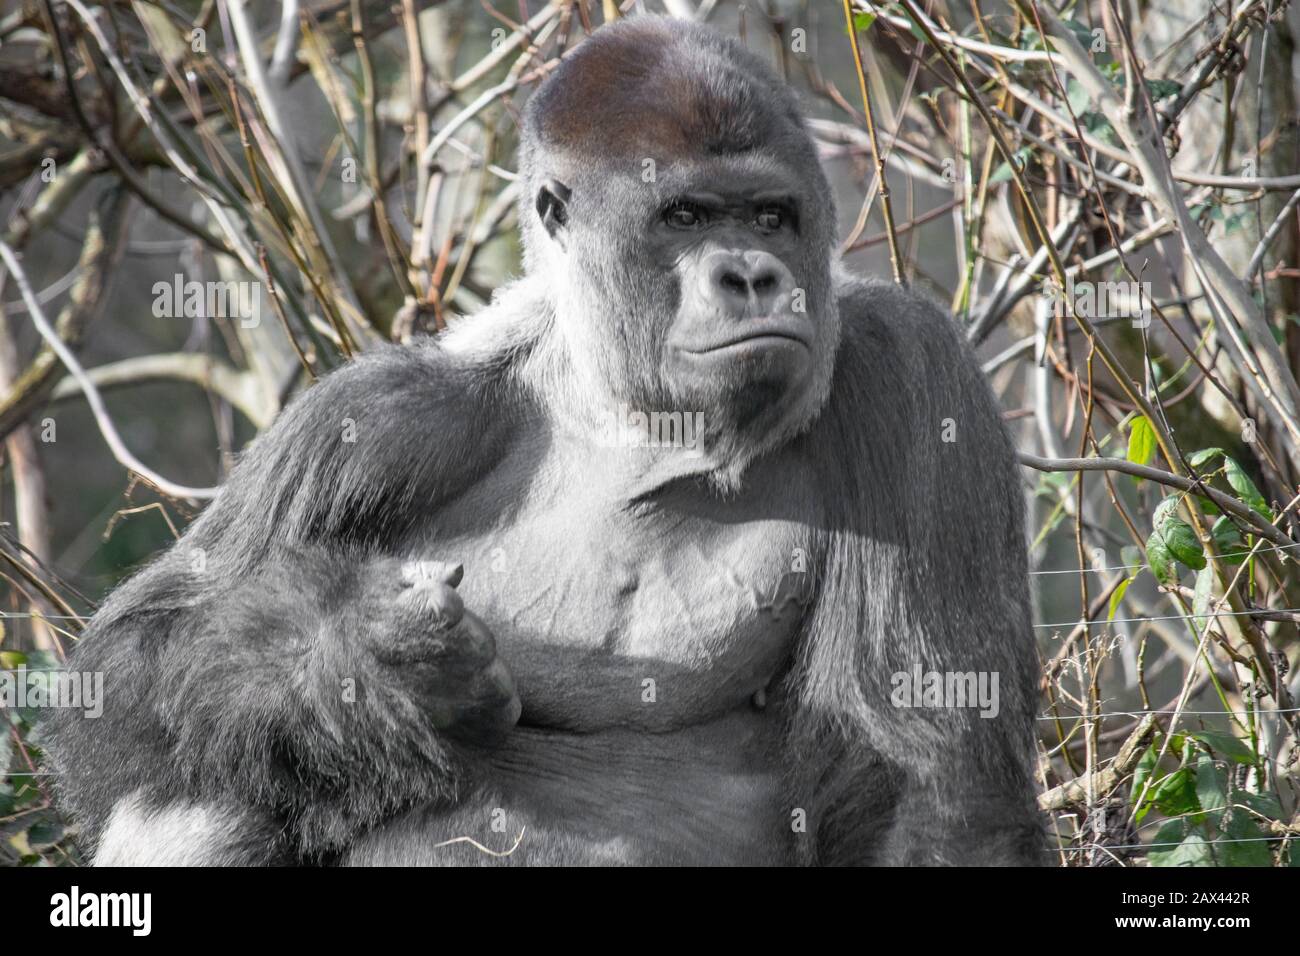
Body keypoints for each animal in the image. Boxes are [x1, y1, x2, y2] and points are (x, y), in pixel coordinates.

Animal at [50, 16, 1044, 866]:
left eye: (771, 217)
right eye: (684, 216)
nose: (755, 277)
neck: (626, 406)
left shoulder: (909, 369)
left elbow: (931, 780)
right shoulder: (378, 418)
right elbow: (132, 658)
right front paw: (364, 668)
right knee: (204, 765)